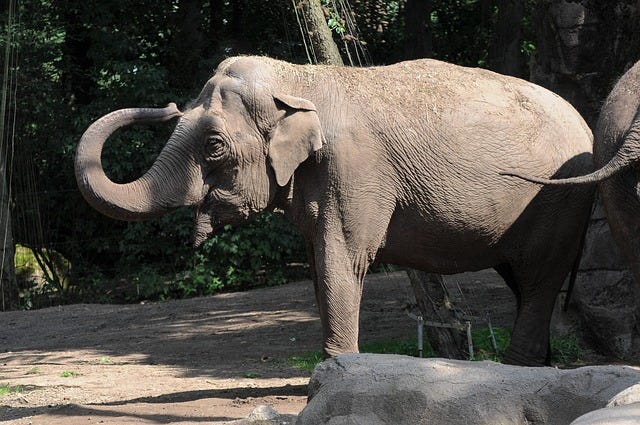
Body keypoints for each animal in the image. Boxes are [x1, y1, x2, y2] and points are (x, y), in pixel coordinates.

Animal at [75, 56, 595, 366]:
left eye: (215, 146)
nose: (165, 106)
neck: (302, 78)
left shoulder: (354, 168)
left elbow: (340, 260)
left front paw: (334, 373)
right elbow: (318, 261)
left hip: (559, 204)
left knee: (539, 277)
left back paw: (519, 367)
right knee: (524, 282)